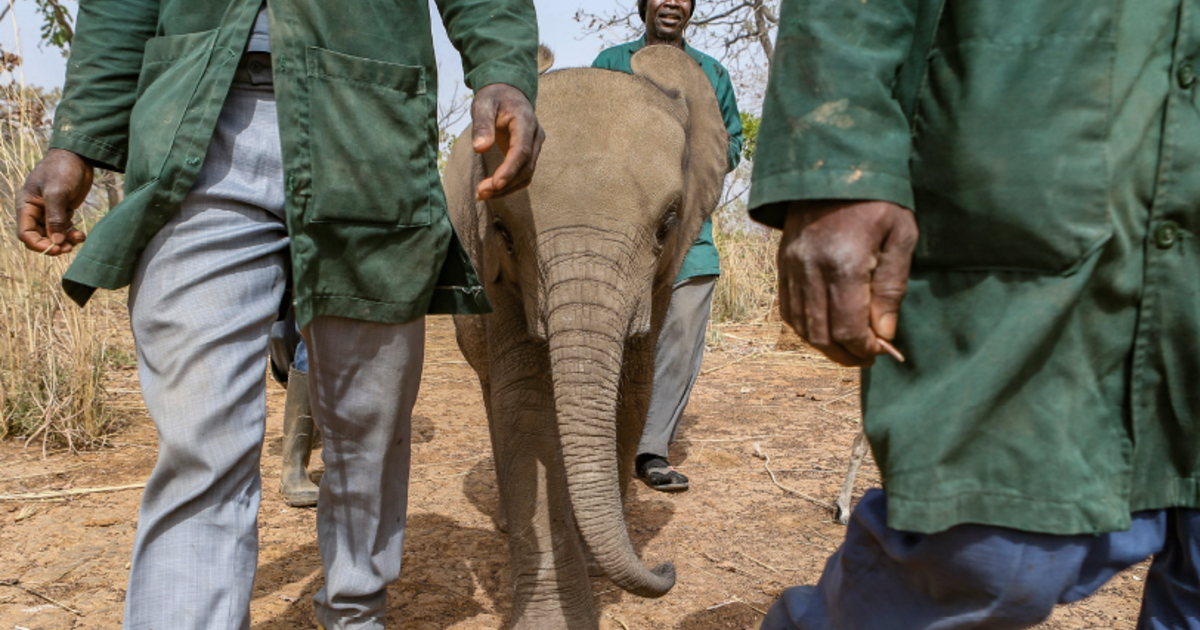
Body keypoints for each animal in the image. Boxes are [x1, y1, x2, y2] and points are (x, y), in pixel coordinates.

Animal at [444, 45, 729, 629]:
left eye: (668, 223)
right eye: (504, 231)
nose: (665, 568)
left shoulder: (658, 278)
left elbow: (633, 389)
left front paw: (597, 569)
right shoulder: (496, 269)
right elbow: (527, 403)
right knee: (490, 389)